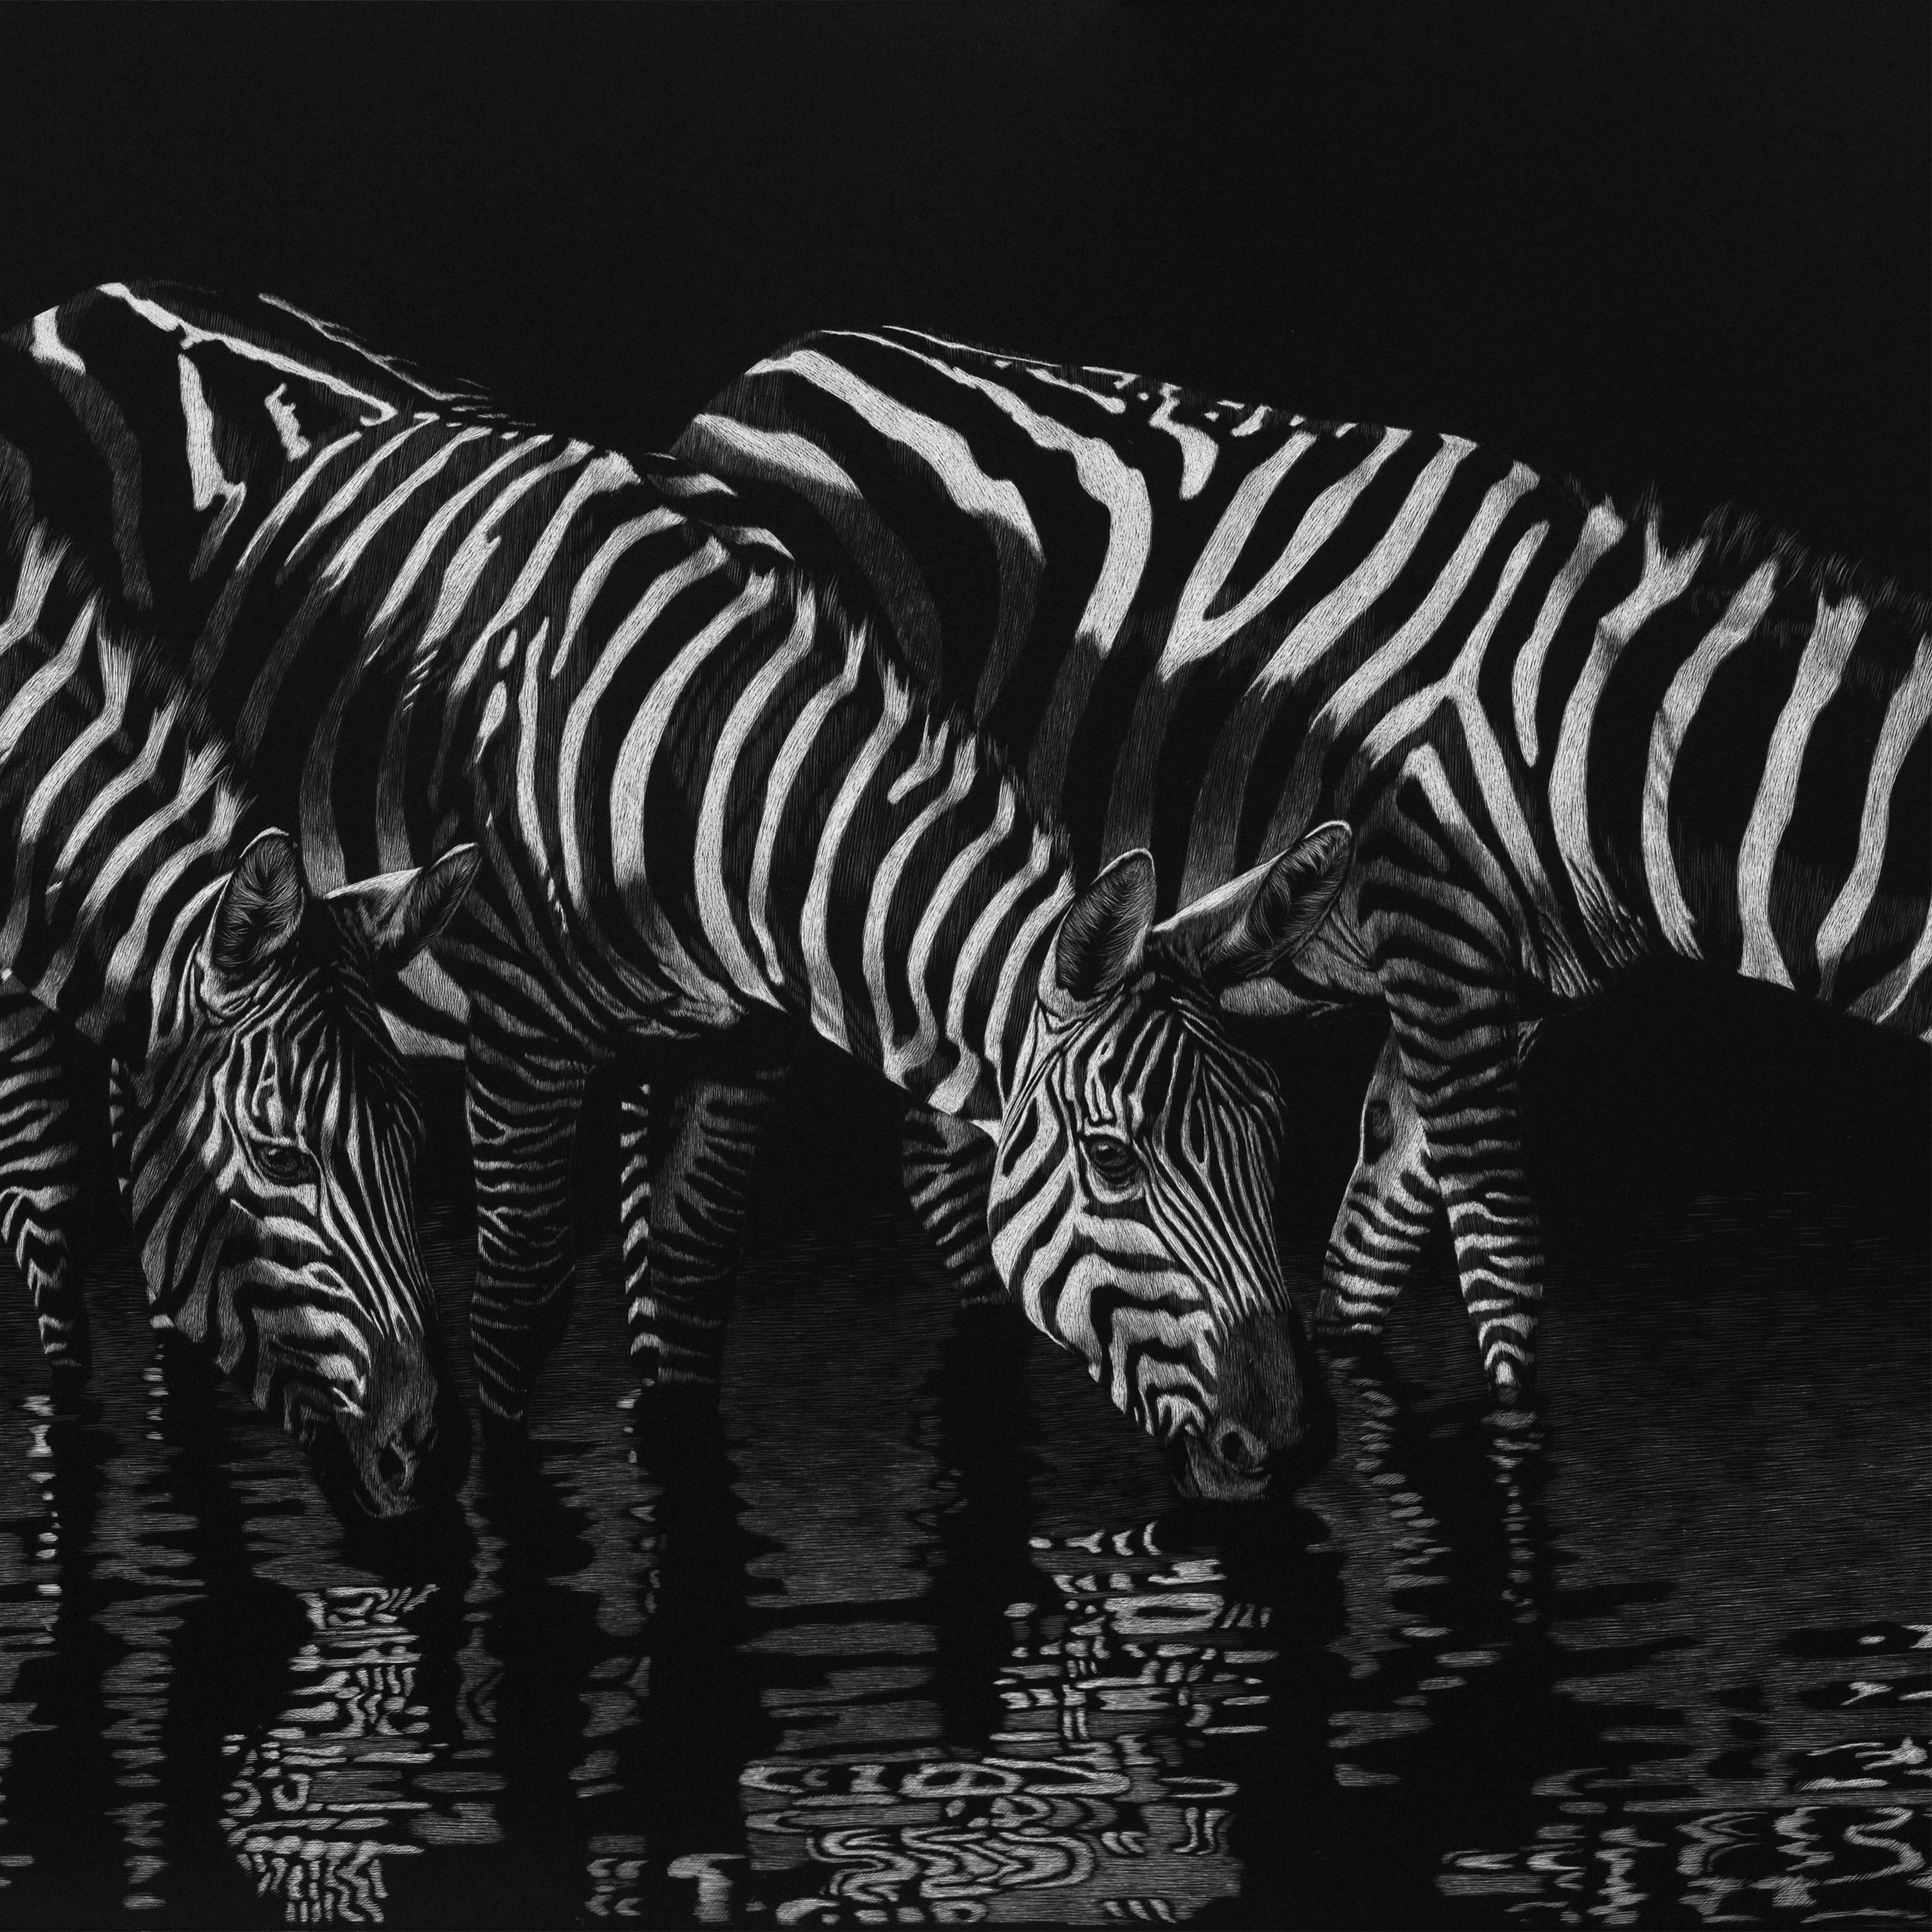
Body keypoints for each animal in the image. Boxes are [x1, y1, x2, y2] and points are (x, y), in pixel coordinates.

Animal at [665, 323, 1932, 1404]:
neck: (1618, 749)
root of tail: (762, 378)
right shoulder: (1434, 929)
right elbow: (1501, 1271)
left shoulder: (1502, 989)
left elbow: (1369, 1249)